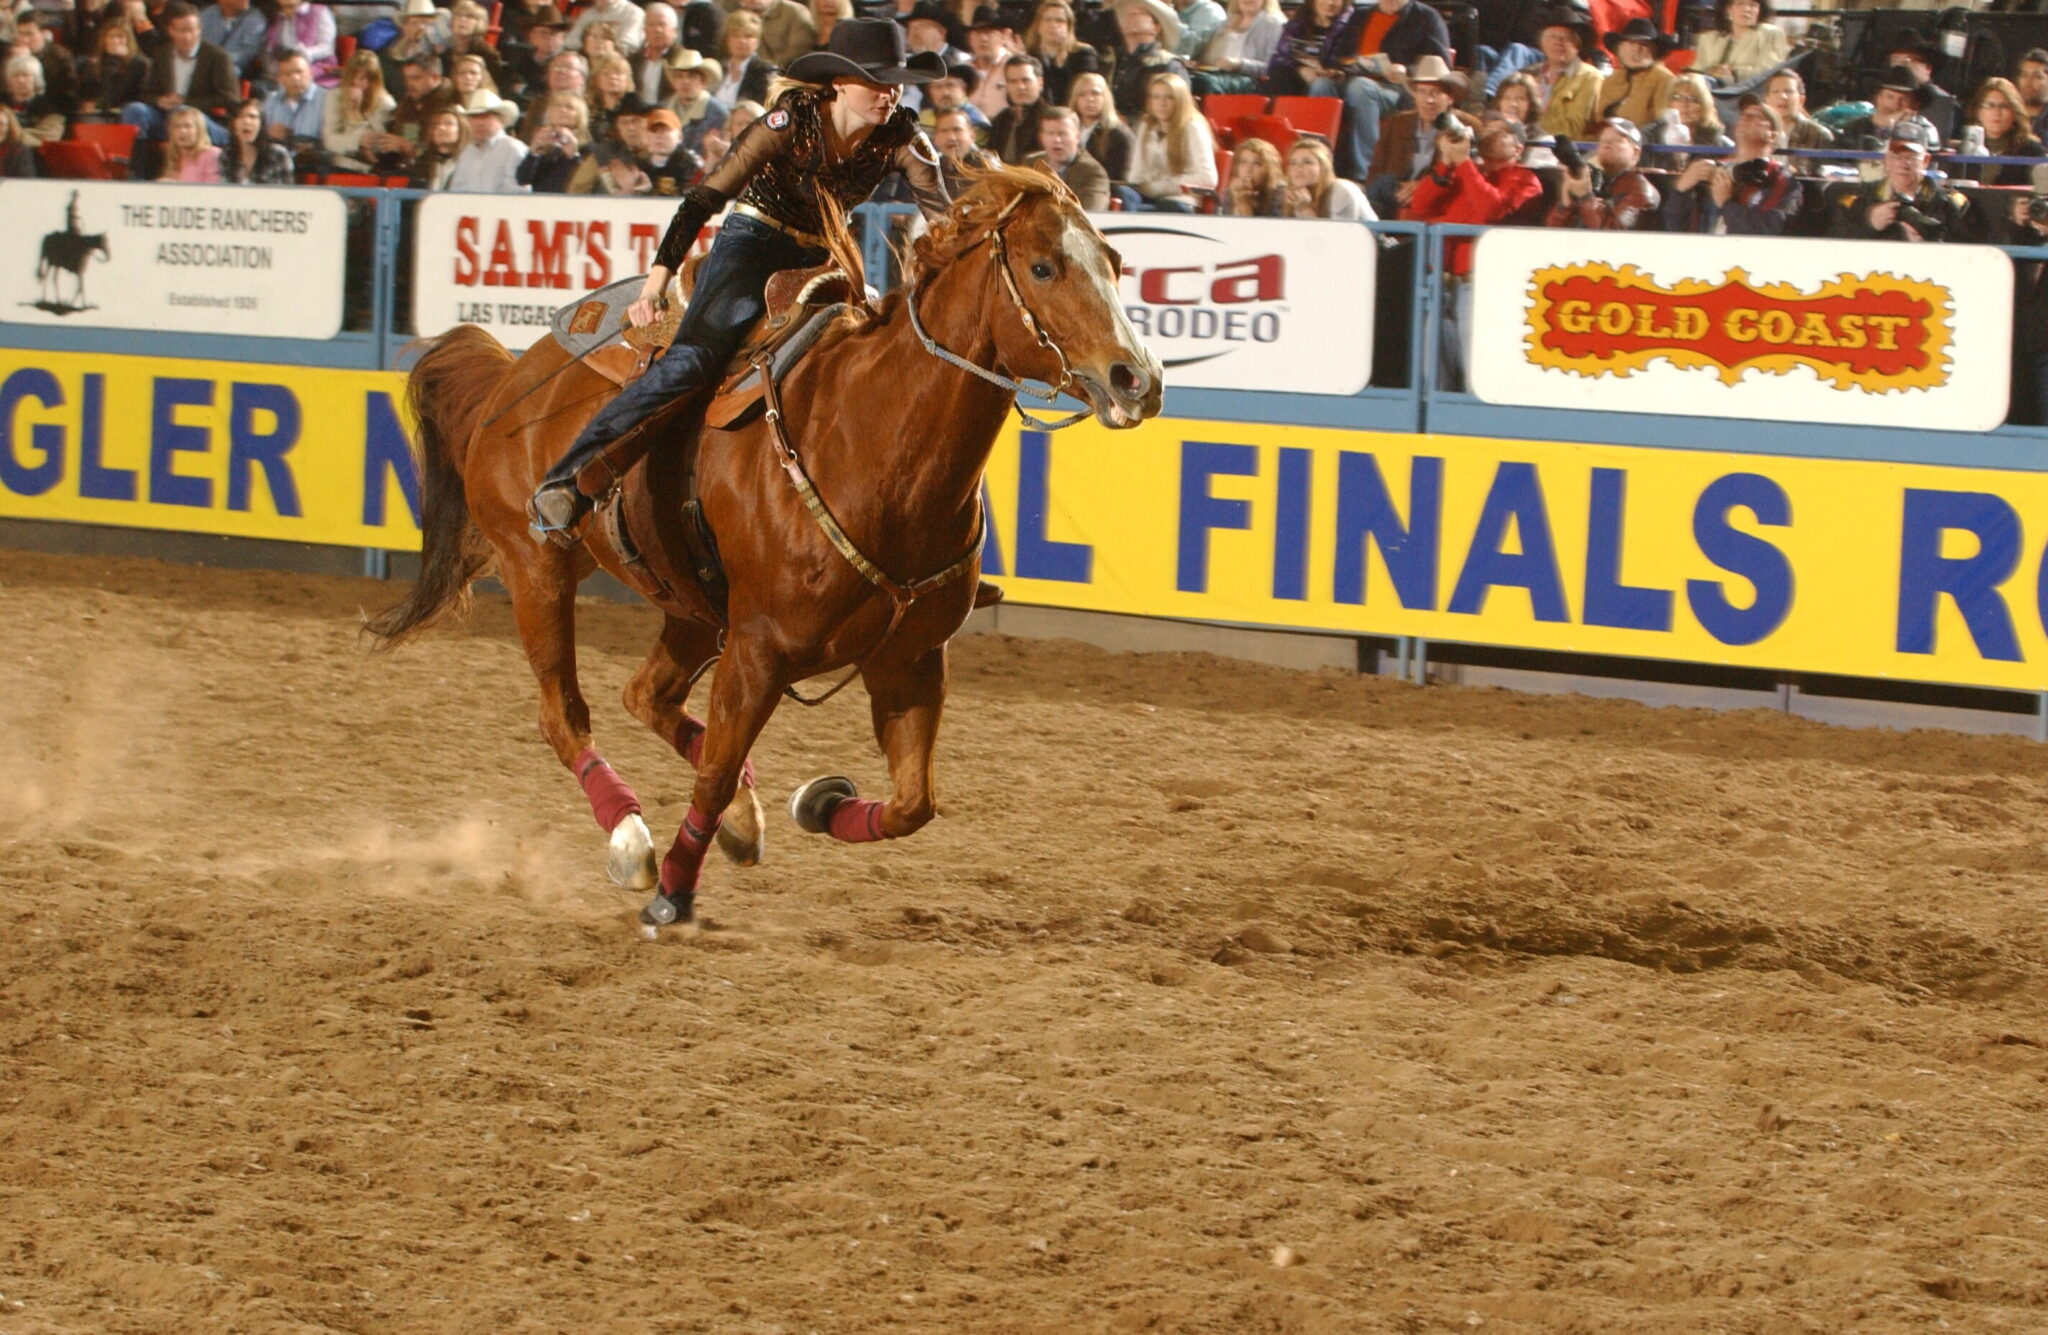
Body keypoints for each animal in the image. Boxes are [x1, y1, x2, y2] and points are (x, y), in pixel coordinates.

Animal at [366, 165, 1162, 931]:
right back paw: (631, 841)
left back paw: (741, 821)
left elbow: (912, 803)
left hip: (687, 606)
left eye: (1115, 260)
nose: (1137, 380)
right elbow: (714, 774)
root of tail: (511, 377)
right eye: (1043, 266)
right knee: (566, 715)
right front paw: (673, 896)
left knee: (646, 695)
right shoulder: (758, 651)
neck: (872, 442)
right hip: (537, 570)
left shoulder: (912, 660)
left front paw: (818, 803)